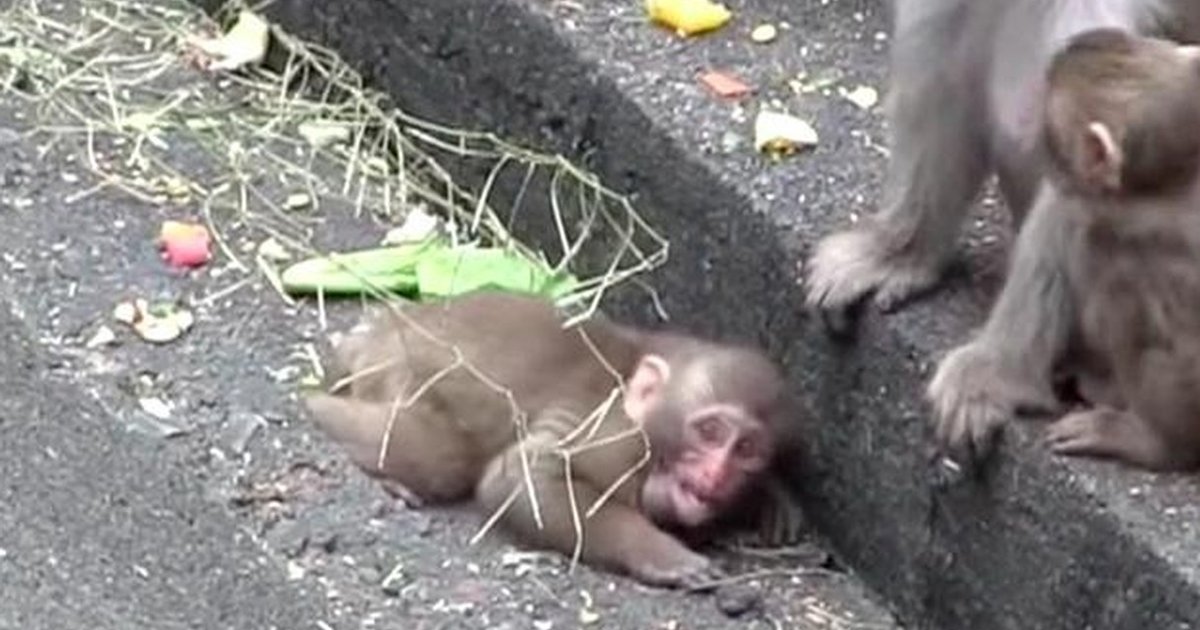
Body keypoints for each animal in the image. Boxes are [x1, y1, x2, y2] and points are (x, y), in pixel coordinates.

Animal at [303, 291, 796, 588]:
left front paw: (771, 500)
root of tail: (378, 333)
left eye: (745, 450)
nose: (716, 473)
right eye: (710, 432)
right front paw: (663, 554)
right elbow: (521, 479)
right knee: (444, 457)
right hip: (396, 371)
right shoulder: (612, 438)